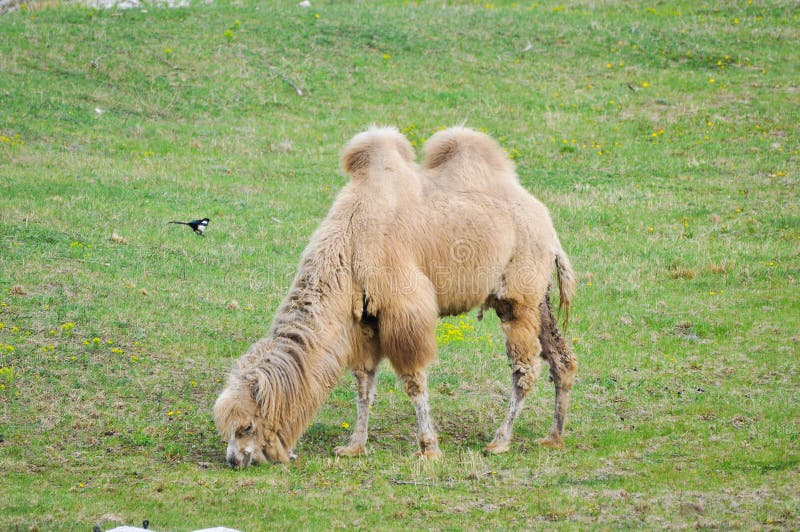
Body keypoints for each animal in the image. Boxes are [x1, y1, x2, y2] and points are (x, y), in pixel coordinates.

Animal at [213, 126, 577, 466]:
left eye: (247, 426)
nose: (234, 459)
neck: (349, 245)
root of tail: (548, 228)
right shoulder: (364, 318)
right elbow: (364, 382)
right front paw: (354, 446)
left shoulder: (404, 308)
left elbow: (413, 381)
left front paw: (428, 448)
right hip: (536, 298)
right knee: (561, 359)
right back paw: (553, 437)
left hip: (518, 295)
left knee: (524, 369)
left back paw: (500, 441)